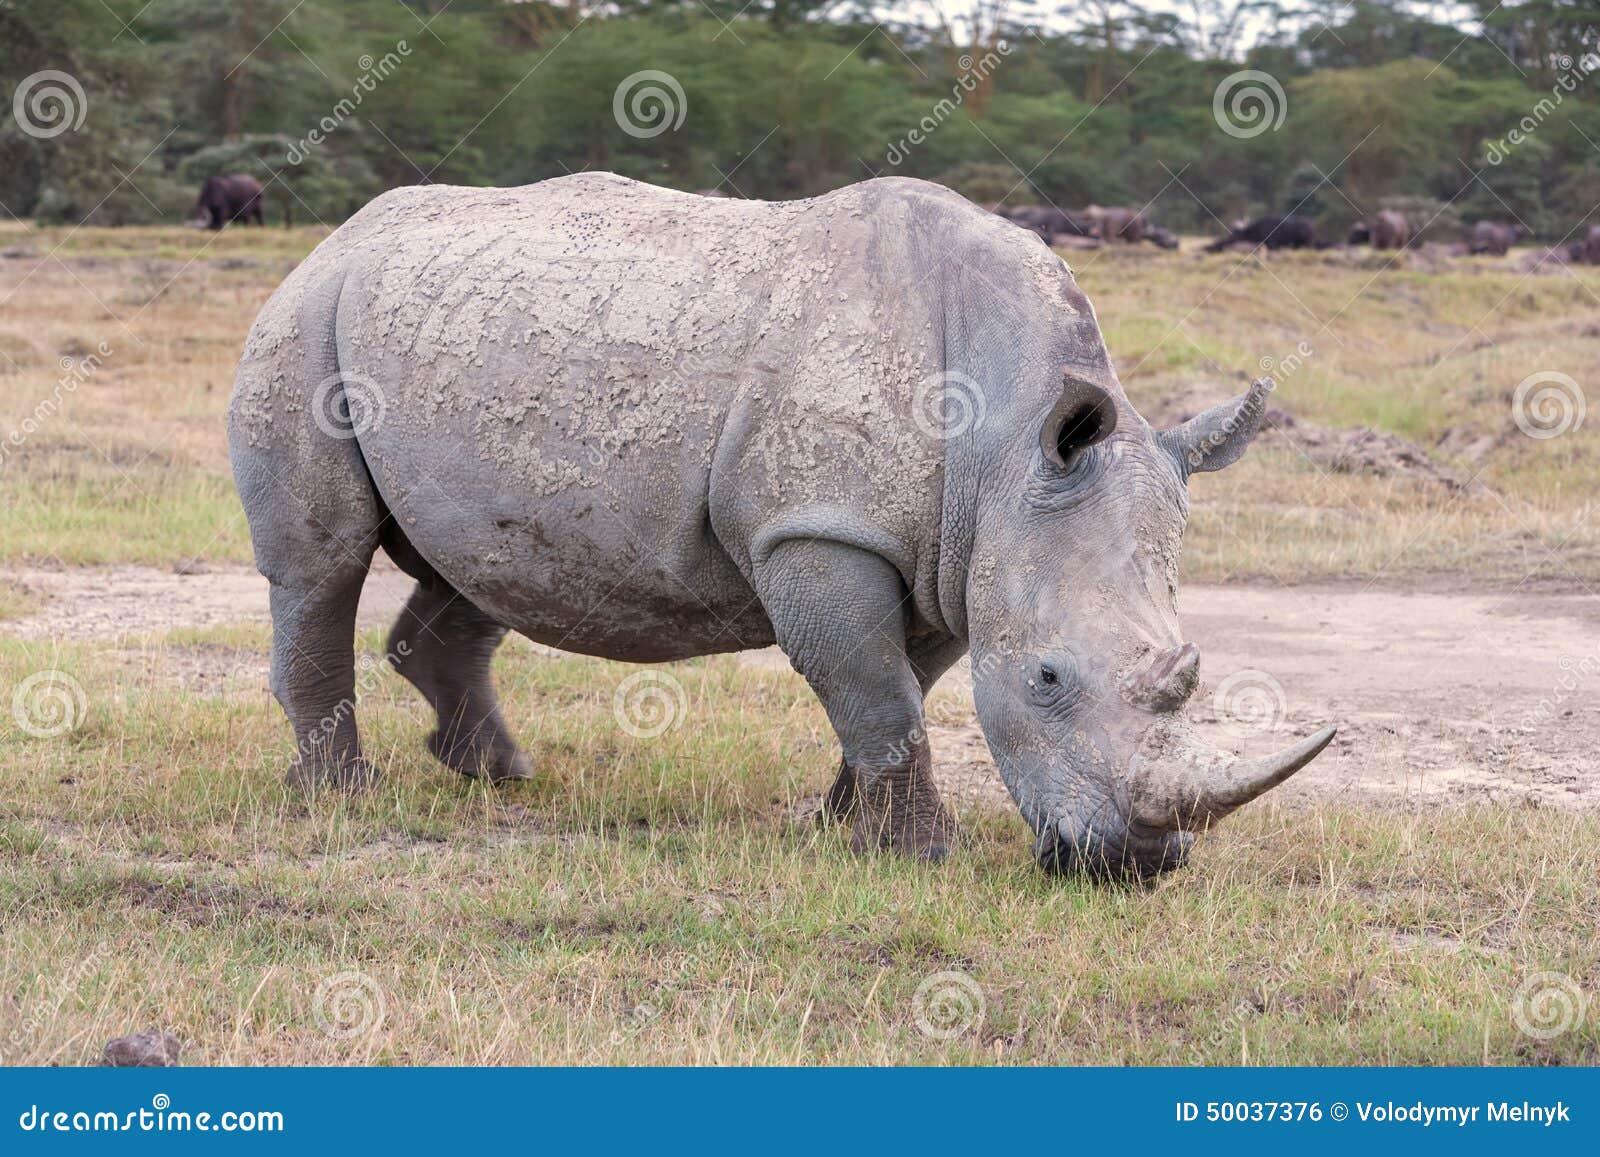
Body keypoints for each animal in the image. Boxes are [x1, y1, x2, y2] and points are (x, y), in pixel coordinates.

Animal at [229, 174, 1336, 879]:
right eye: (1049, 680)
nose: (1137, 863)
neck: (1006, 445)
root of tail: (335, 237)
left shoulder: (945, 551)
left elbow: (899, 688)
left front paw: (840, 827)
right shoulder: (820, 529)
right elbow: (878, 692)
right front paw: (918, 854)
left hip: (435, 333)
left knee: (483, 559)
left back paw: (500, 773)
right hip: (305, 321)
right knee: (322, 566)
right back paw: (342, 797)